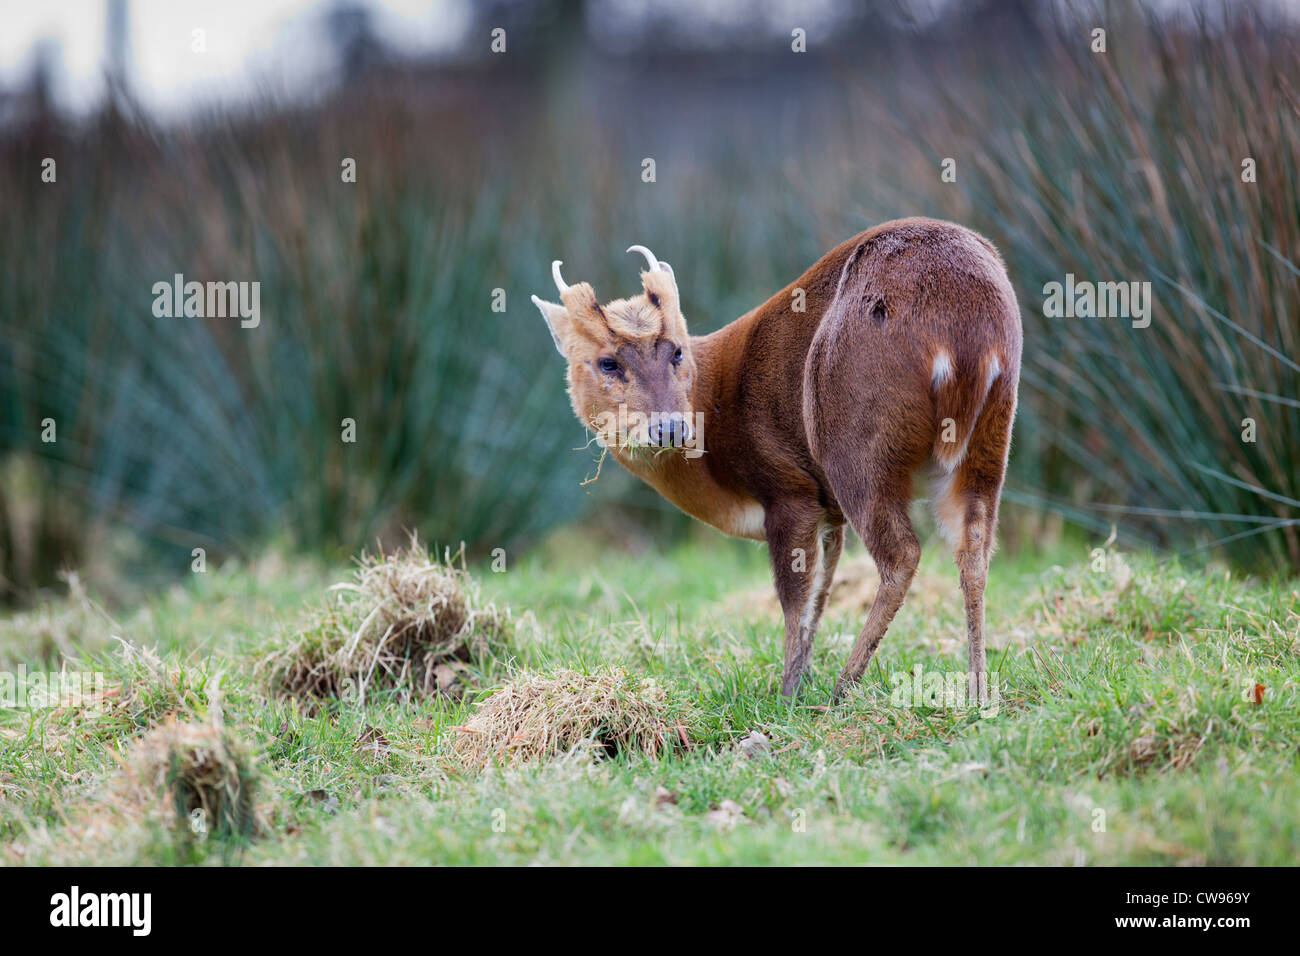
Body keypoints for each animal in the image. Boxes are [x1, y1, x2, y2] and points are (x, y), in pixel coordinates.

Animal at [530, 217, 1022, 704]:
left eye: (676, 350)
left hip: (851, 441)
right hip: (991, 439)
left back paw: (842, 689)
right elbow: (821, 591)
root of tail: (965, 329)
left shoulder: (789, 487)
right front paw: (800, 678)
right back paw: (978, 691)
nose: (671, 428)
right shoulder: (828, 511)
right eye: (607, 362)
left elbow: (795, 599)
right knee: (974, 549)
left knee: (902, 553)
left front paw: (787, 694)